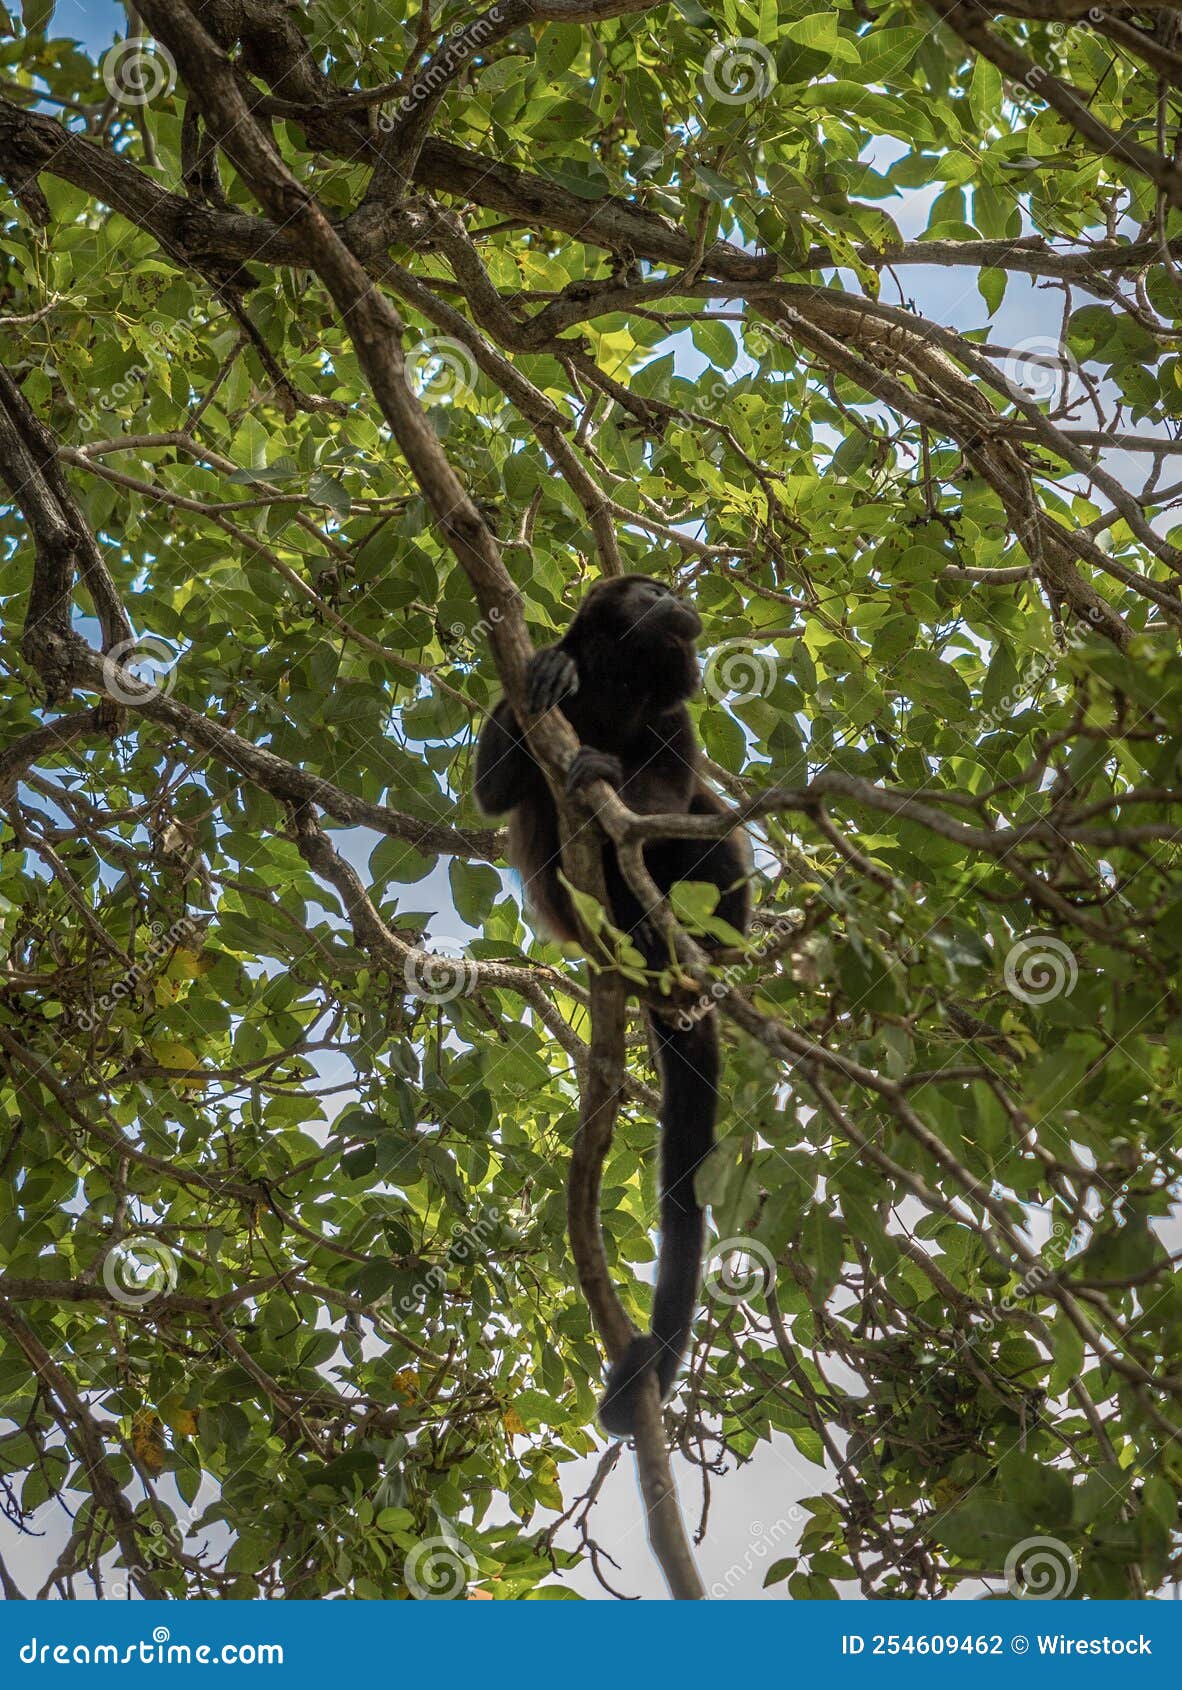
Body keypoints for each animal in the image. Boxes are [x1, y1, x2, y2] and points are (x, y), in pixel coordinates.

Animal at [473, 575, 751, 1435]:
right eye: (649, 591)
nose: (676, 597)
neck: (621, 686)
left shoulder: (676, 716)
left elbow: (663, 795)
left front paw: (611, 788)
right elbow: (492, 790)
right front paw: (554, 669)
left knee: (704, 820)